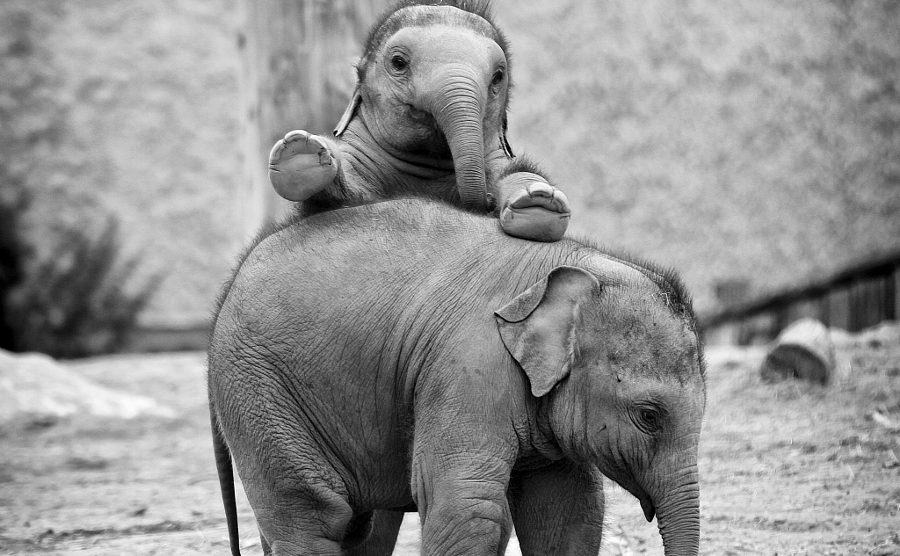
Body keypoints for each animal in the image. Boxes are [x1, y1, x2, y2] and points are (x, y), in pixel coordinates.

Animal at [208, 198, 707, 556]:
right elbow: (467, 506)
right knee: (313, 514)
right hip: (257, 389)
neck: (572, 265)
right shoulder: (468, 366)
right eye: (648, 415)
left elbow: (567, 512)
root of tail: (227, 286)